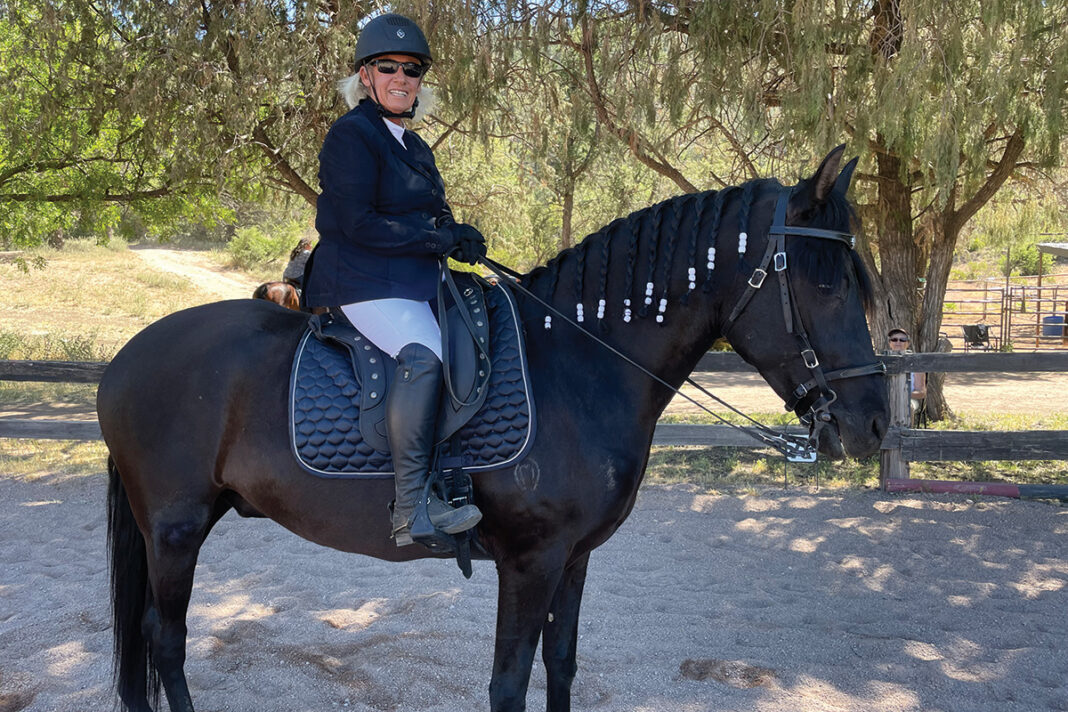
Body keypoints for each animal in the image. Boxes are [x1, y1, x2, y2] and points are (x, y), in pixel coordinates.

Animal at [98, 146, 889, 712]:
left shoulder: (573, 559)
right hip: (175, 528)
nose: (873, 423)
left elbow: (560, 666)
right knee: (164, 640)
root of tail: (127, 356)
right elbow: (508, 684)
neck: (577, 364)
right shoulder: (530, 561)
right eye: (825, 283)